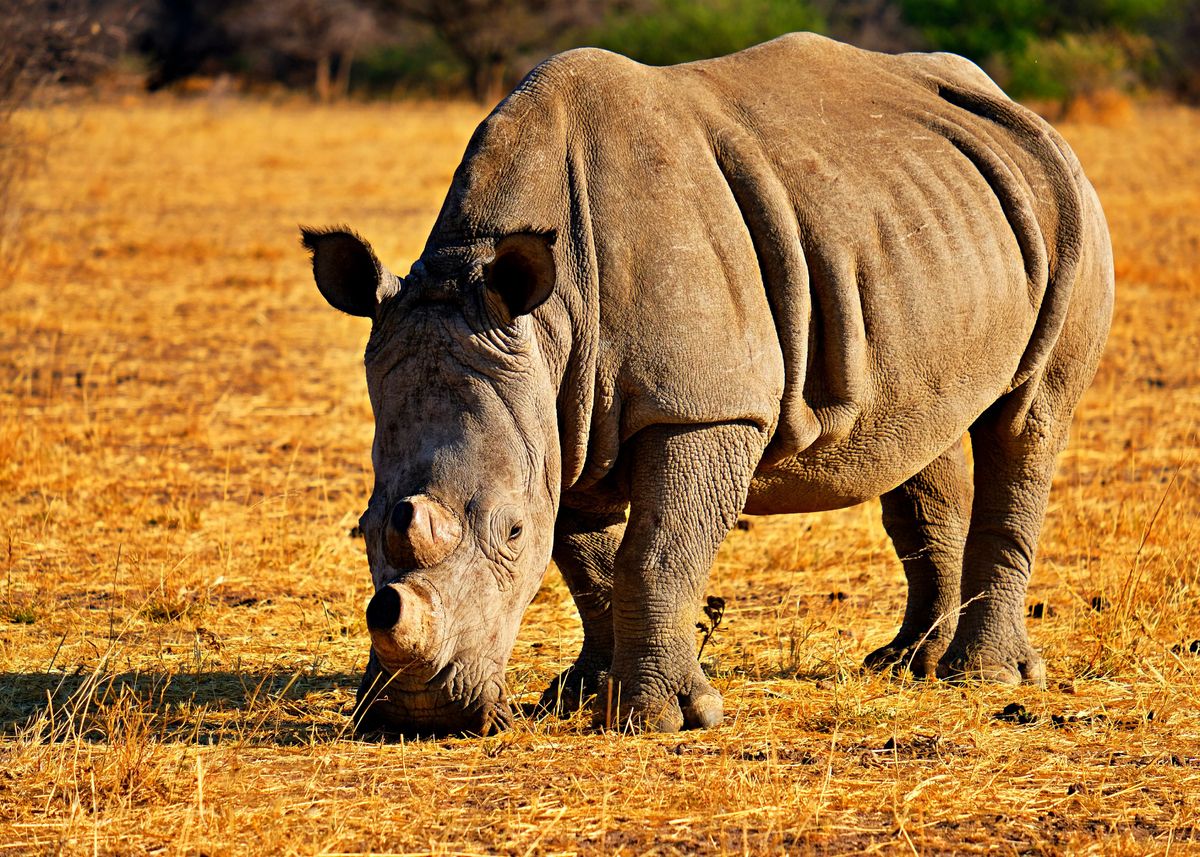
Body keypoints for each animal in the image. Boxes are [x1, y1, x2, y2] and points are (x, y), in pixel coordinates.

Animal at [302, 32, 1113, 736]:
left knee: (1026, 421)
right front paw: (581, 695)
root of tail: (1016, 106)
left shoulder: (702, 408)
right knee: (922, 432)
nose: (423, 716)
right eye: (365, 527)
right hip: (925, 229)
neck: (545, 322)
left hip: (1070, 202)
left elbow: (656, 550)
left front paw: (662, 718)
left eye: (511, 531)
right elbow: (589, 562)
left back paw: (985, 678)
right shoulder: (558, 412)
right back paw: (902, 664)